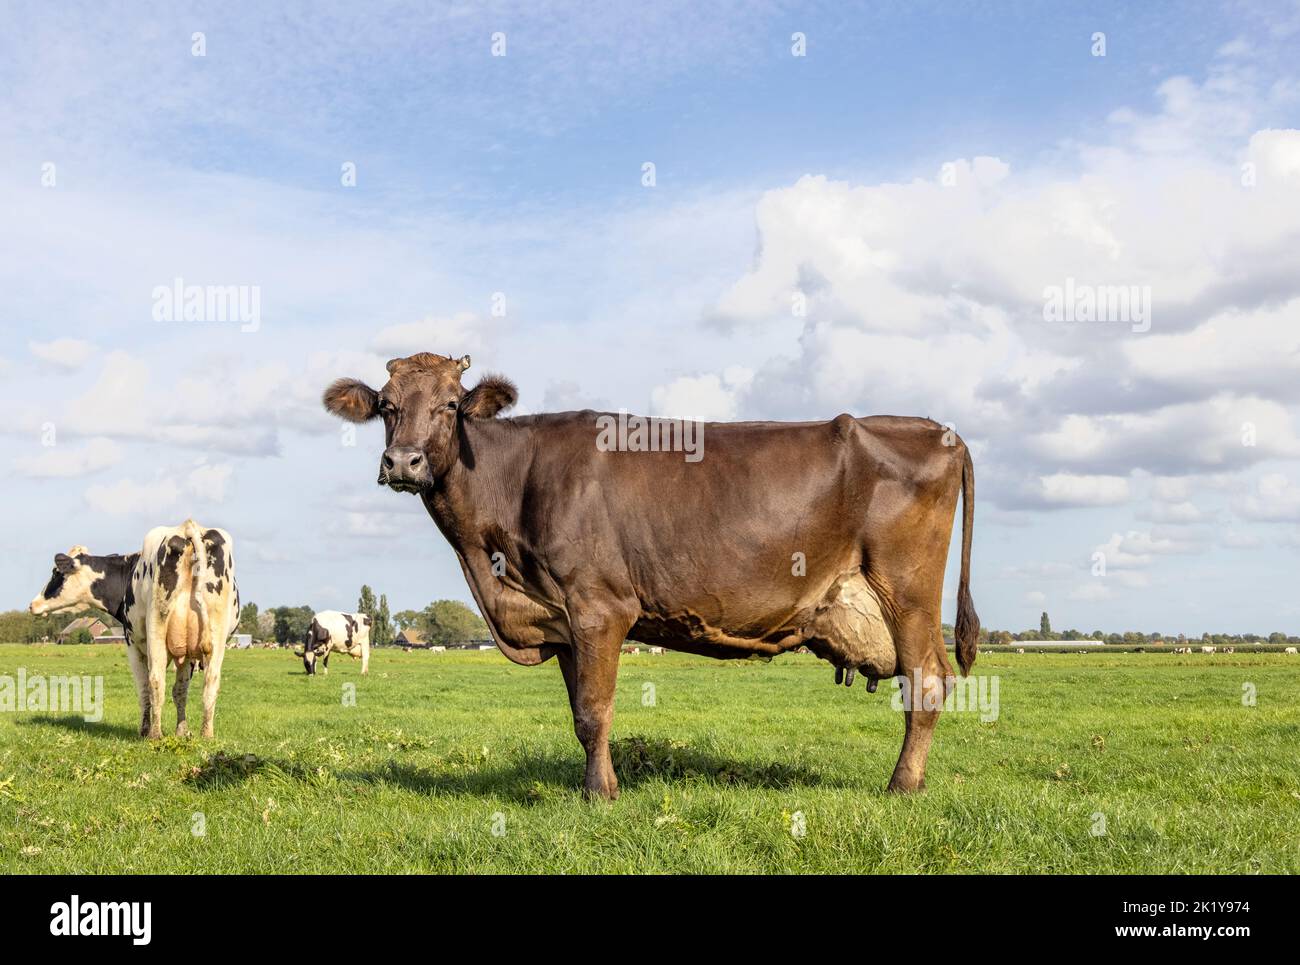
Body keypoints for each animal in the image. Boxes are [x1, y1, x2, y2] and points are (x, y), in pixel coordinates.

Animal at [29, 520, 239, 739]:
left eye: (56, 573)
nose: (33, 605)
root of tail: (188, 527)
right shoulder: (186, 653)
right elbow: (180, 691)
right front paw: (182, 731)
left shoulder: (133, 643)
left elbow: (144, 688)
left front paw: (145, 731)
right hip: (215, 636)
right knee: (211, 683)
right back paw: (207, 734)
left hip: (157, 627)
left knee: (155, 681)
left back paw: (155, 734)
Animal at [323, 352, 979, 797]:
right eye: (386, 407)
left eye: (451, 405)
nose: (403, 462)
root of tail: (935, 428)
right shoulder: (564, 622)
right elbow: (579, 714)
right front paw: (598, 784)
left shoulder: (599, 607)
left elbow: (595, 710)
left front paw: (600, 794)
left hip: (907, 592)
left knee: (927, 681)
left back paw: (902, 784)